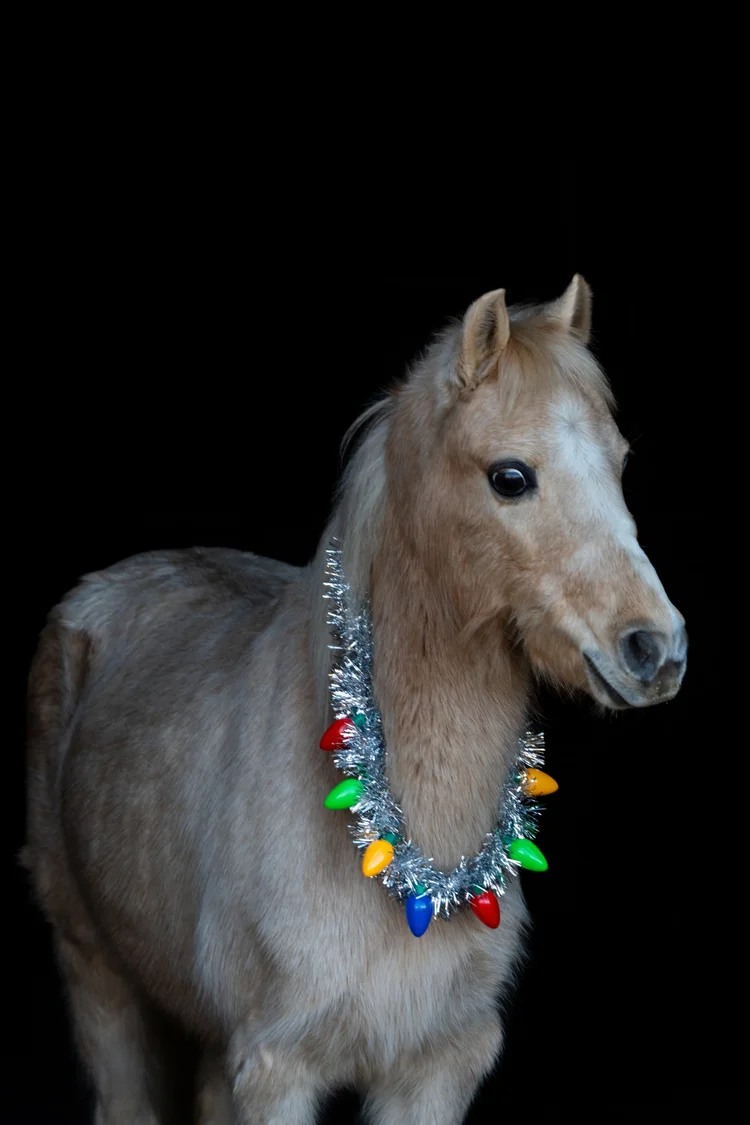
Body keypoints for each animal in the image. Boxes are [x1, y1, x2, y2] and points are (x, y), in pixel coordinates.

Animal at [24, 276, 687, 1125]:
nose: (655, 648)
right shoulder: (276, 1067)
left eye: (620, 462)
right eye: (510, 477)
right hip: (97, 976)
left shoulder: (436, 1067)